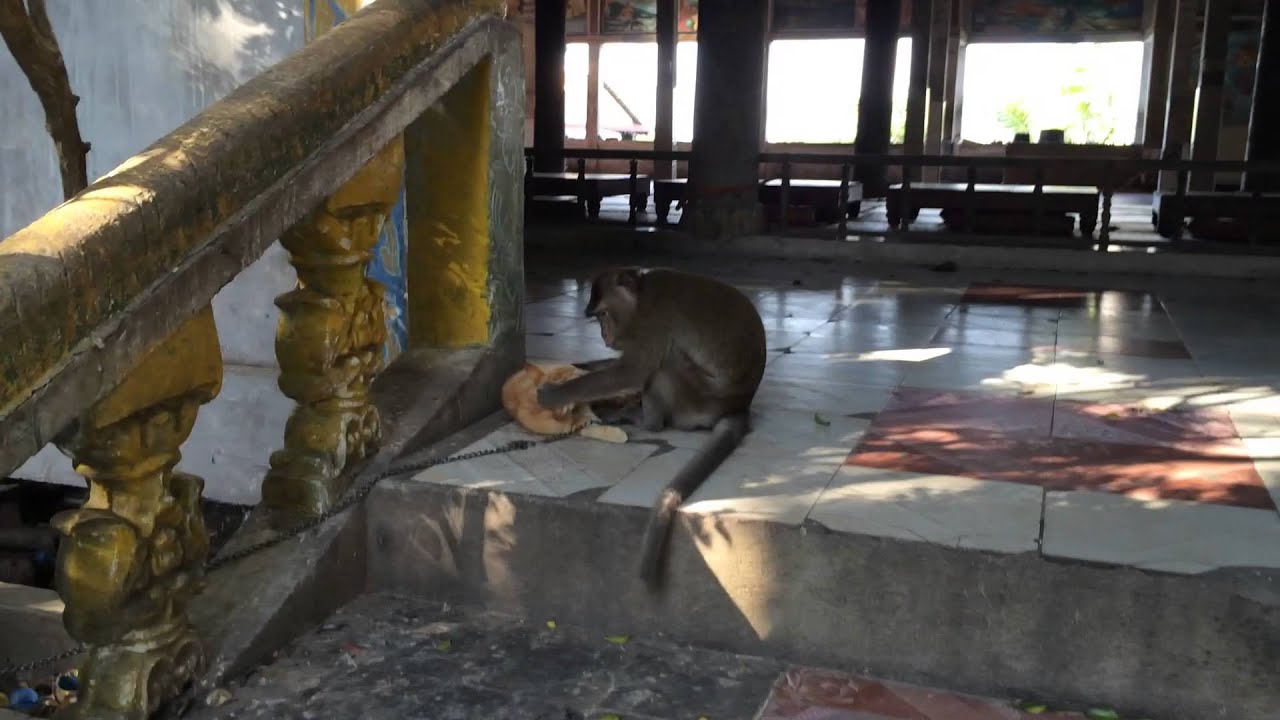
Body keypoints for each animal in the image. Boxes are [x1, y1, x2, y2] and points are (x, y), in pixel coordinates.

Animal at [537, 267, 767, 590]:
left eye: (603, 314)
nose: (604, 336)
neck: (641, 296)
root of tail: (738, 406)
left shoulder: (652, 325)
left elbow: (632, 371)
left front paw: (554, 394)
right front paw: (576, 366)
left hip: (693, 398)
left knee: (665, 362)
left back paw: (645, 420)